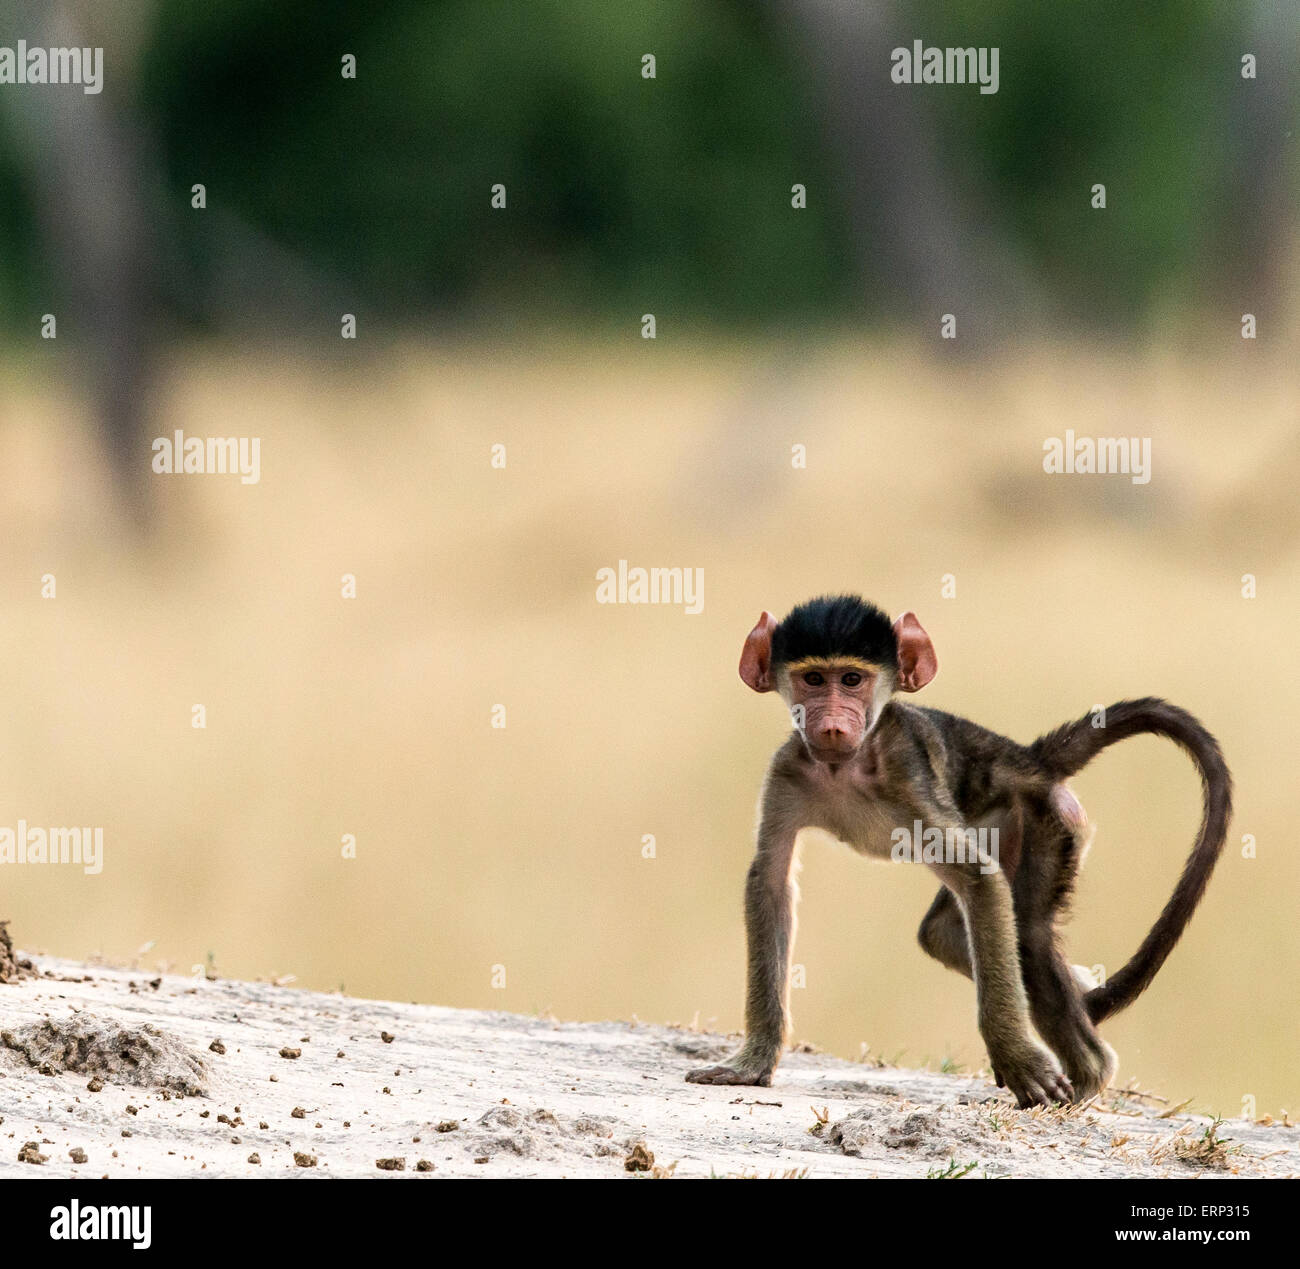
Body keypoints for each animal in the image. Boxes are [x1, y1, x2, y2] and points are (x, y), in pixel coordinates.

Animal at [686, 595, 1231, 1107]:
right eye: (814, 680)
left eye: (852, 679)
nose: (834, 725)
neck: (846, 765)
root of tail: (1025, 758)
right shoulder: (787, 771)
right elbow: (770, 882)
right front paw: (752, 1062)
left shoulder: (907, 771)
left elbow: (979, 878)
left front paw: (1019, 1062)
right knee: (948, 933)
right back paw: (1079, 1001)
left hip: (1041, 819)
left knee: (1028, 933)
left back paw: (1086, 1073)